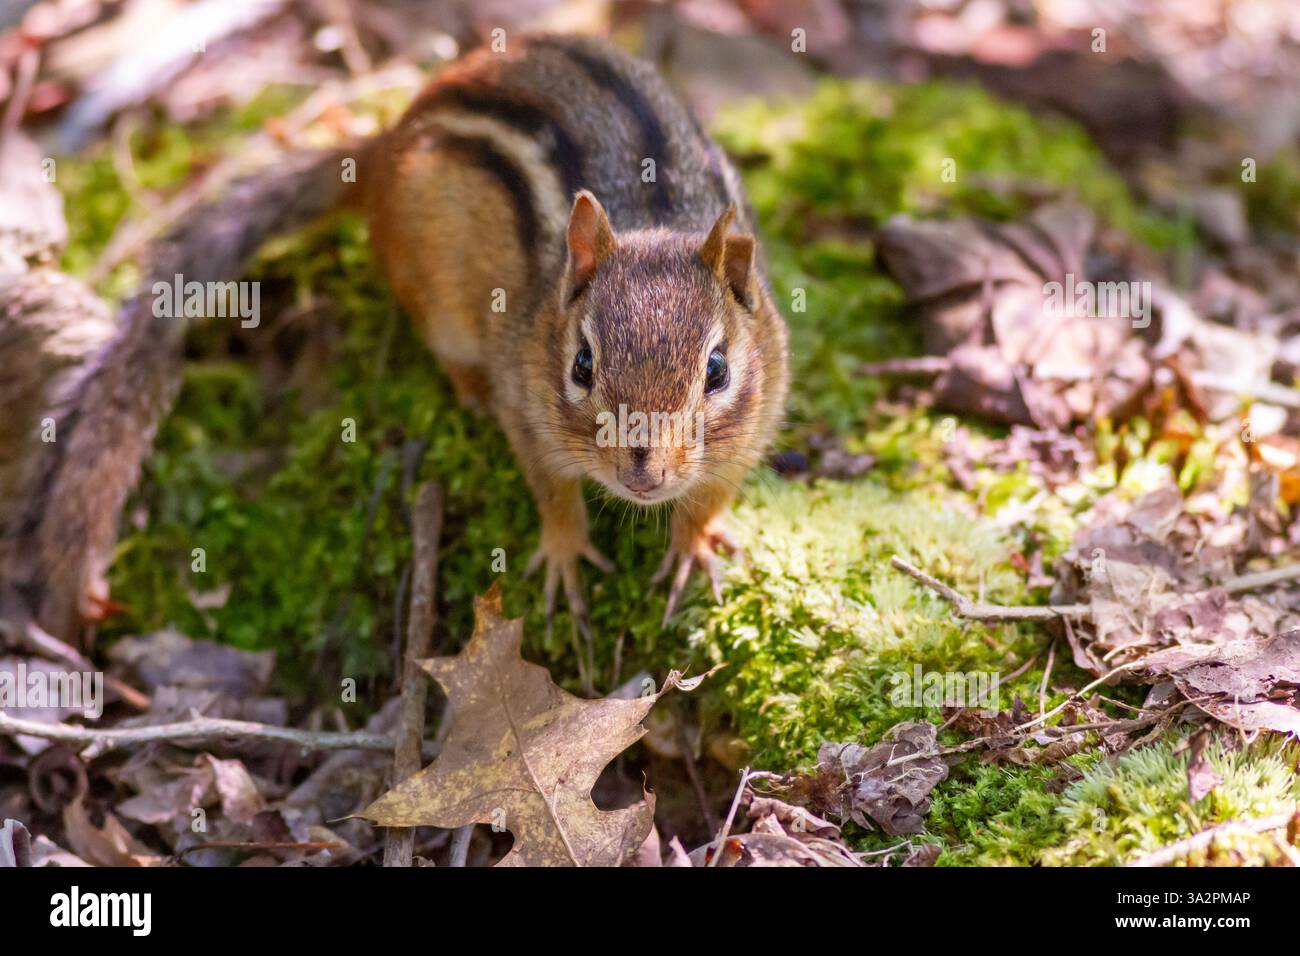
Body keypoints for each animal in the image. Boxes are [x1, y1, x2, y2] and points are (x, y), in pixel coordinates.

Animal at [0, 34, 788, 642]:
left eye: (717, 371)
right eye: (583, 366)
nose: (641, 475)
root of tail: (384, 145)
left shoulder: (758, 419)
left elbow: (716, 492)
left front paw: (692, 545)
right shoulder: (527, 408)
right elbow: (550, 490)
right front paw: (565, 556)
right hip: (433, 294)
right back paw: (469, 392)